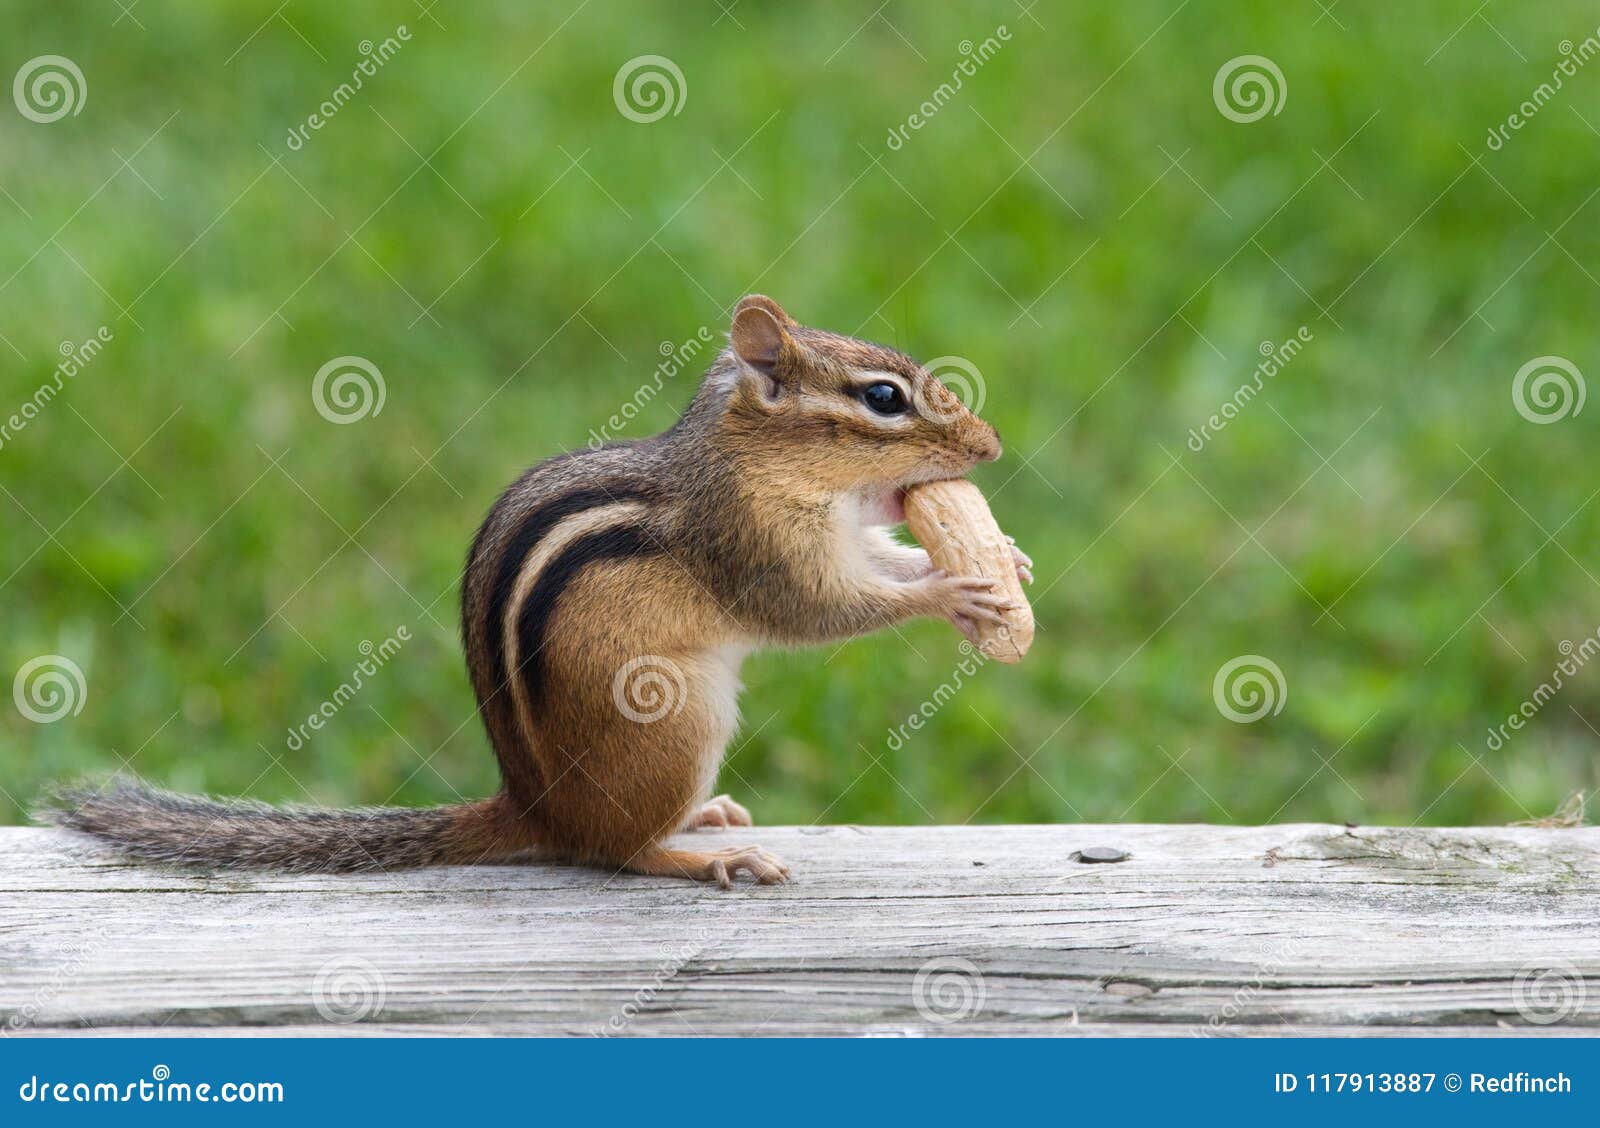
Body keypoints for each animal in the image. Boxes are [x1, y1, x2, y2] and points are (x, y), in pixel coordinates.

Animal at [43, 295, 1030, 888]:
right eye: (884, 399)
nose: (989, 448)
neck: (751, 465)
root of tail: (533, 803)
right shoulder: (752, 546)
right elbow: (822, 610)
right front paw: (955, 590)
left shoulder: (841, 535)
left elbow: (878, 563)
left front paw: (1002, 560)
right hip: (676, 718)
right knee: (618, 851)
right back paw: (702, 856)